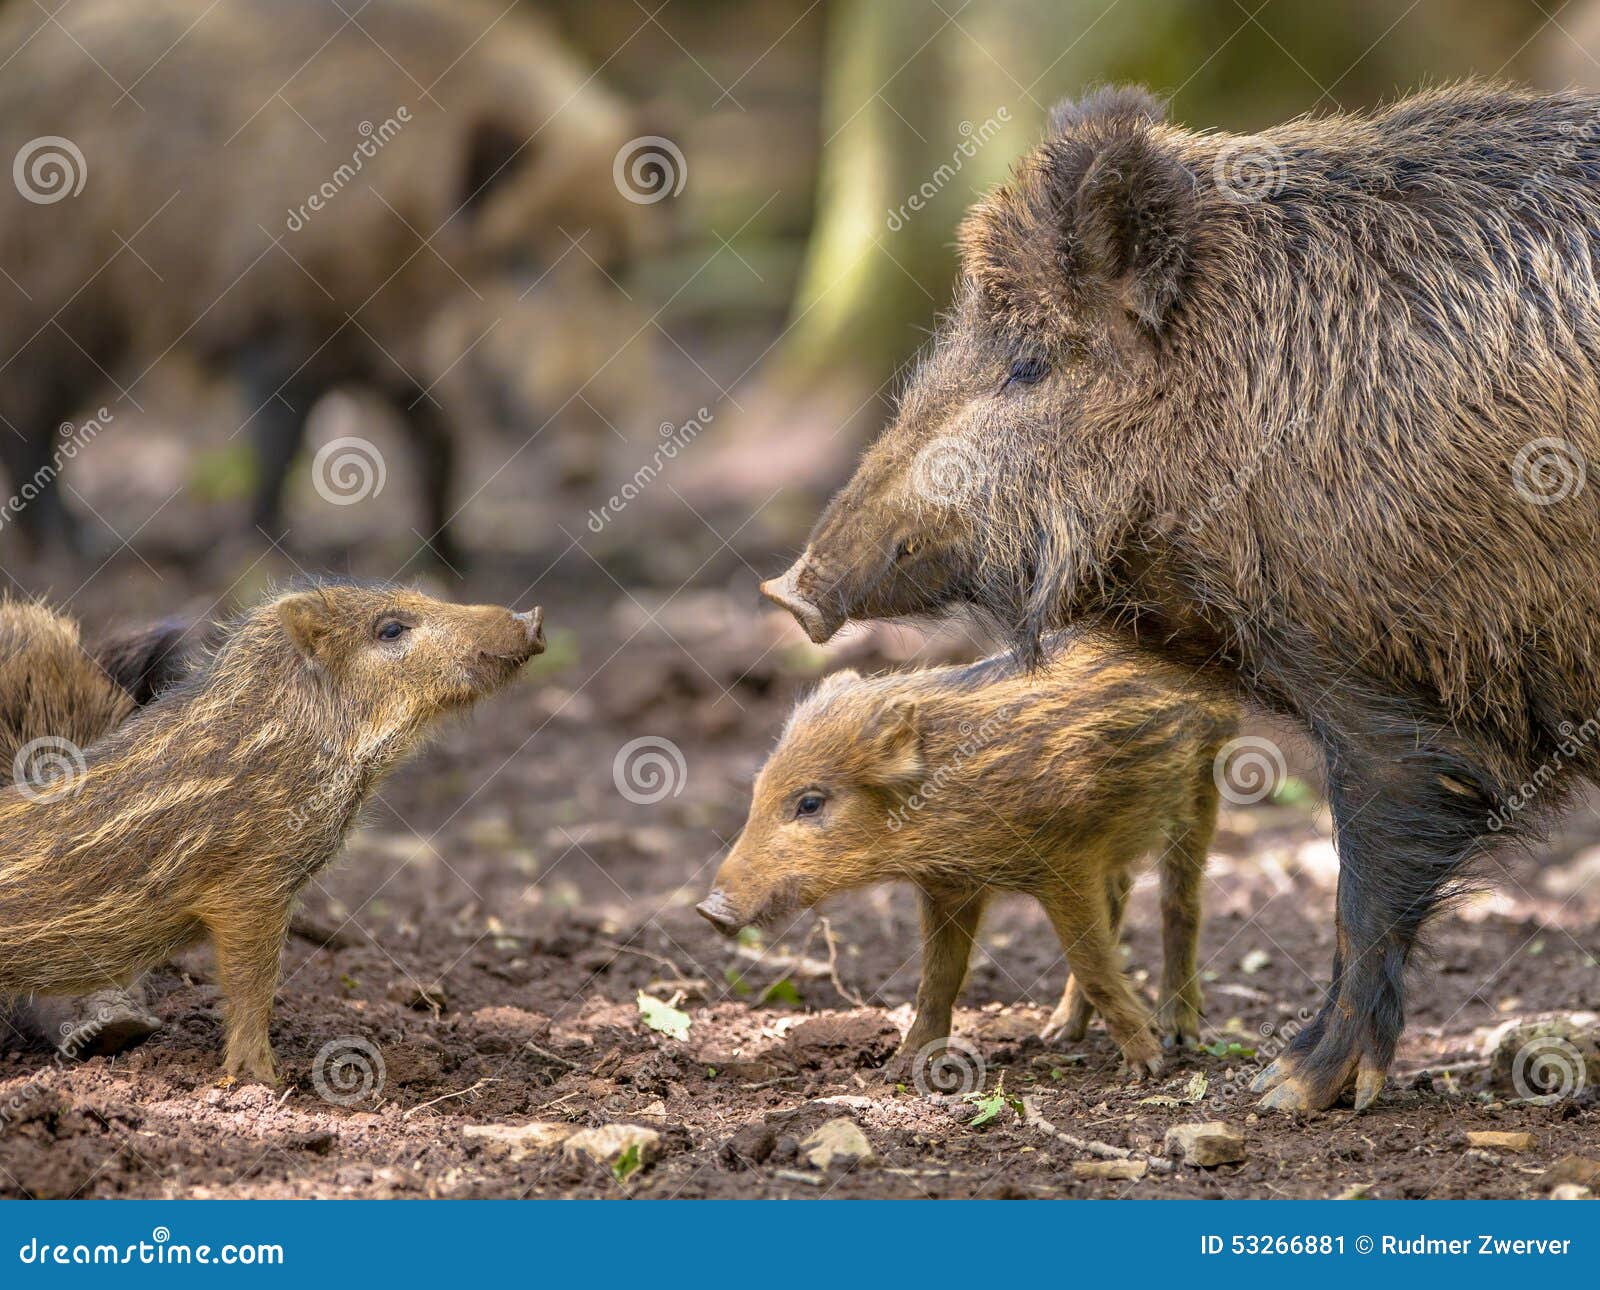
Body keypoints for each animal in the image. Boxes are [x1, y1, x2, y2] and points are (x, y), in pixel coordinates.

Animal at [0, 0, 656, 564]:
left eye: (618, 270)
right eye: (518, 260)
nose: (580, 455)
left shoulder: (398, 365)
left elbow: (438, 451)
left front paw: (451, 560)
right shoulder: (278, 326)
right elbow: (280, 442)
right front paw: (269, 552)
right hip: (54, 306)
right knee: (28, 418)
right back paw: (77, 546)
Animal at [697, 644, 1237, 1080]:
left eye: (810, 803)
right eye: (757, 791)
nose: (709, 909)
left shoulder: (1066, 861)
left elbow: (1092, 962)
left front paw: (1148, 1068)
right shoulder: (947, 886)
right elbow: (937, 979)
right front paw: (897, 1069)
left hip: (1202, 783)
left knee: (1179, 903)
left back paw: (1178, 1033)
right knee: (1122, 893)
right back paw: (1058, 1034)